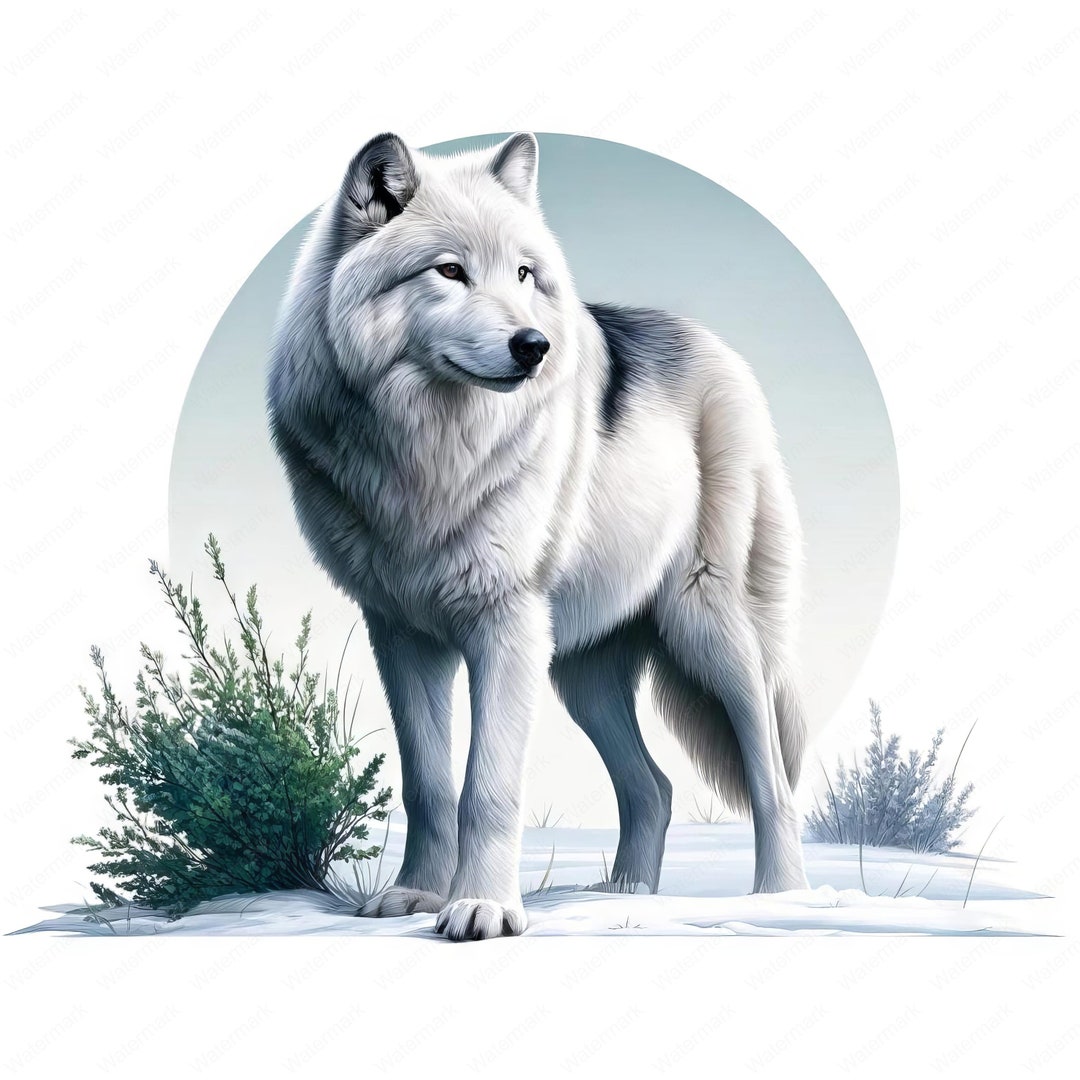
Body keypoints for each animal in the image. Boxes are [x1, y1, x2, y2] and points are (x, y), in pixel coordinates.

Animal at [267, 132, 809, 941]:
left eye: (524, 274)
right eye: (450, 271)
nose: (536, 345)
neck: (432, 459)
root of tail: (716, 348)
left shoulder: (506, 626)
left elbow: (486, 788)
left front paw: (484, 908)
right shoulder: (402, 635)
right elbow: (429, 785)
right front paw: (415, 894)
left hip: (709, 631)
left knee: (770, 775)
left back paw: (781, 900)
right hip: (581, 674)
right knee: (653, 787)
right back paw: (623, 899)